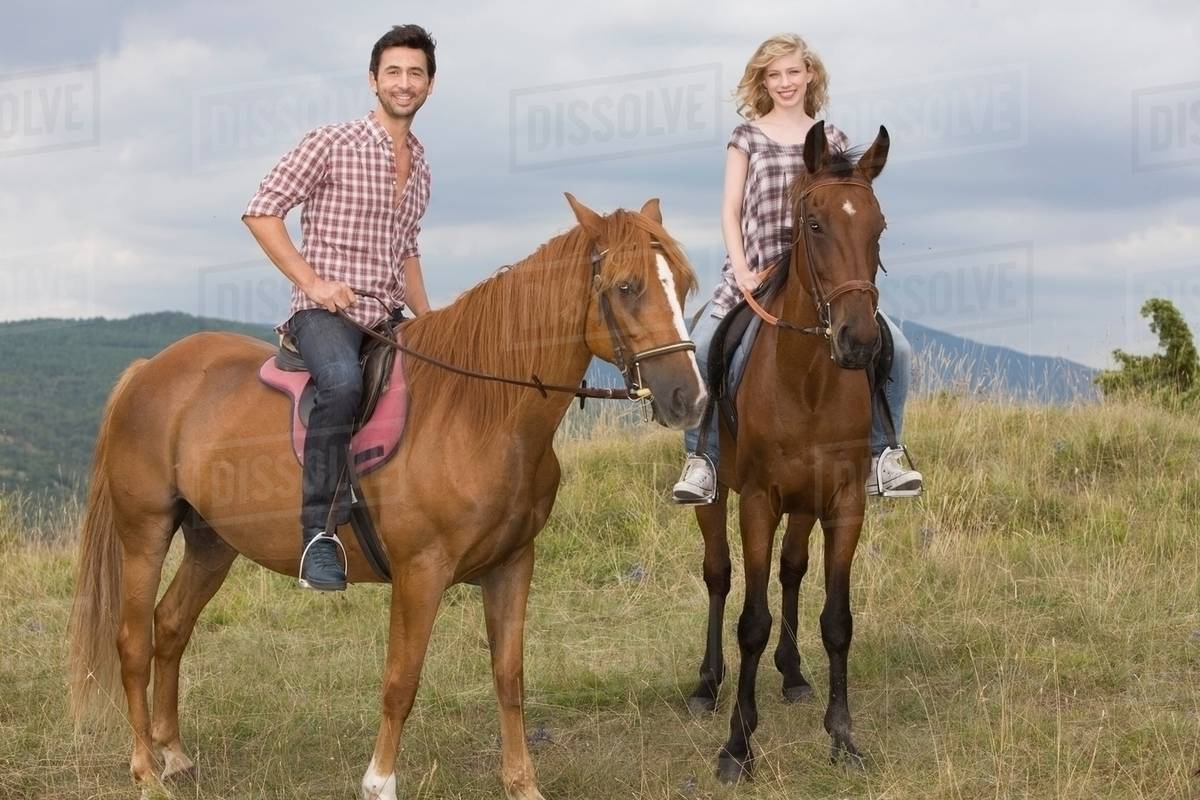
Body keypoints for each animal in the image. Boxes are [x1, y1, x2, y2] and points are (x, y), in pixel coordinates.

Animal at [67, 194, 706, 800]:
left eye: (683, 283)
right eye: (626, 287)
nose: (689, 399)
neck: (478, 414)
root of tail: (149, 370)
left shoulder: (512, 564)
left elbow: (510, 677)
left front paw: (523, 783)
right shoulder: (420, 571)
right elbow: (401, 681)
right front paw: (380, 783)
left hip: (211, 543)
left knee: (172, 626)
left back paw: (173, 755)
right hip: (145, 533)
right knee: (133, 641)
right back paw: (145, 770)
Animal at [684, 122, 892, 782]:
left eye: (878, 228)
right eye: (816, 225)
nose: (859, 342)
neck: (806, 380)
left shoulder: (845, 503)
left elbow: (838, 620)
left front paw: (843, 737)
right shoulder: (757, 501)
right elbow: (751, 620)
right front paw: (737, 746)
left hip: (806, 505)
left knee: (793, 571)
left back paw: (795, 674)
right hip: (717, 498)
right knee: (718, 575)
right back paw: (706, 685)